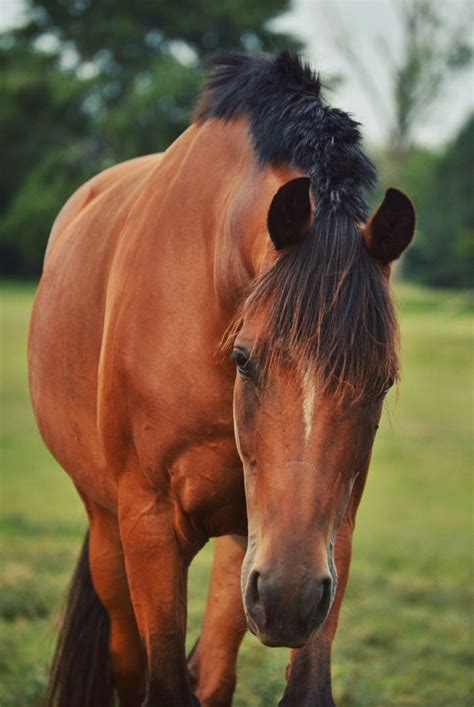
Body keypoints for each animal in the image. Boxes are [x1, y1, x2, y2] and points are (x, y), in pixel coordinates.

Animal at [29, 51, 415, 707]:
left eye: (382, 382)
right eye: (244, 359)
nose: (289, 599)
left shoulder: (328, 534)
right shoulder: (150, 526)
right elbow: (160, 681)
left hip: (249, 550)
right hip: (110, 529)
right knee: (127, 660)